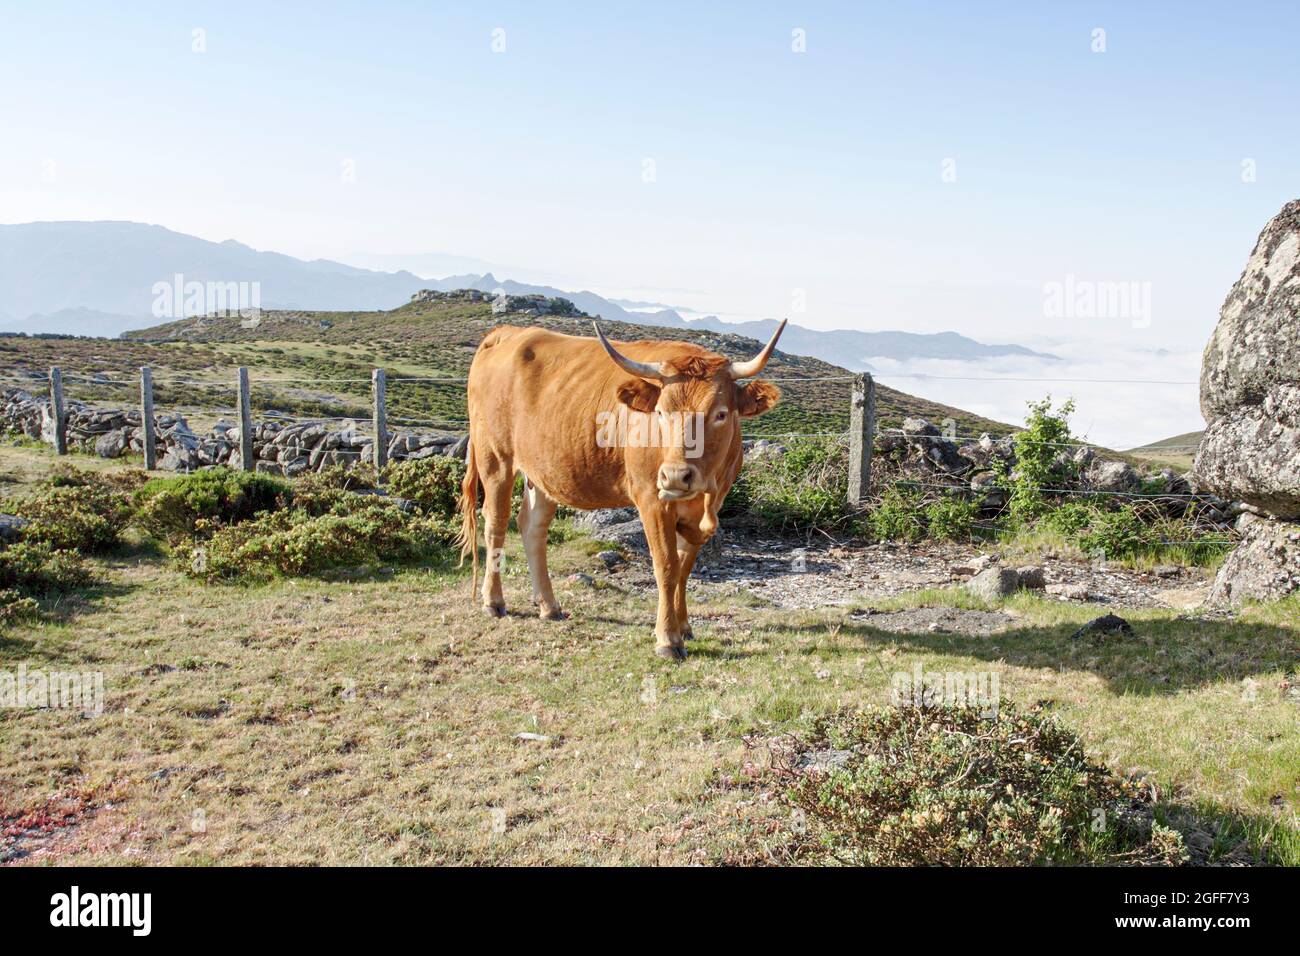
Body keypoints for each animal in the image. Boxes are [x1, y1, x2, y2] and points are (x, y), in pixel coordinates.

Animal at [457, 319, 787, 659]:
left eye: (720, 413)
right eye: (660, 412)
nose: (674, 476)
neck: (705, 499)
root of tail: (508, 332)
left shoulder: (704, 511)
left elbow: (684, 568)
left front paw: (684, 626)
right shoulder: (652, 500)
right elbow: (666, 566)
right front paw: (668, 638)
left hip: (542, 471)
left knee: (532, 527)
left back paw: (549, 606)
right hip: (495, 457)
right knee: (495, 524)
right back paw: (494, 601)